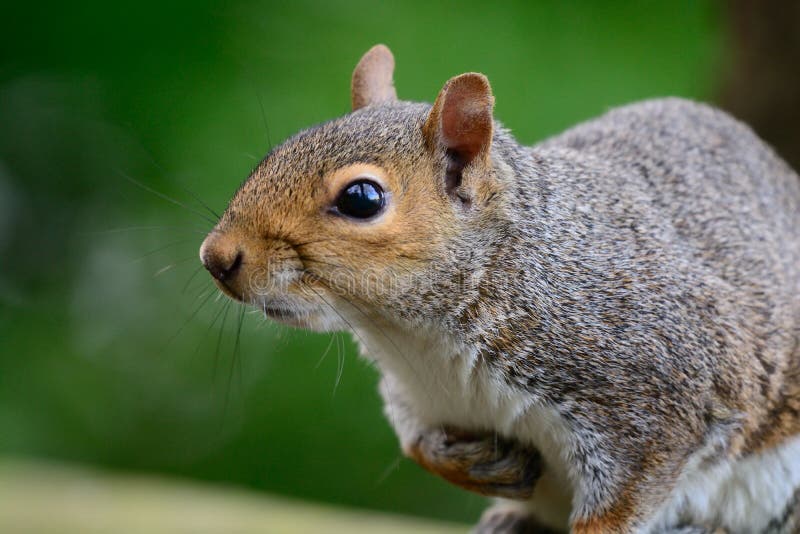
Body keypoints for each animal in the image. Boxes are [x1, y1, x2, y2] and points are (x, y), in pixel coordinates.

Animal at [199, 45, 800, 533]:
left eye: (361, 199)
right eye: (271, 157)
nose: (216, 257)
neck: (423, 340)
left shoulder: (652, 401)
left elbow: (627, 496)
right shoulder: (414, 393)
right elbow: (415, 443)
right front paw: (468, 463)